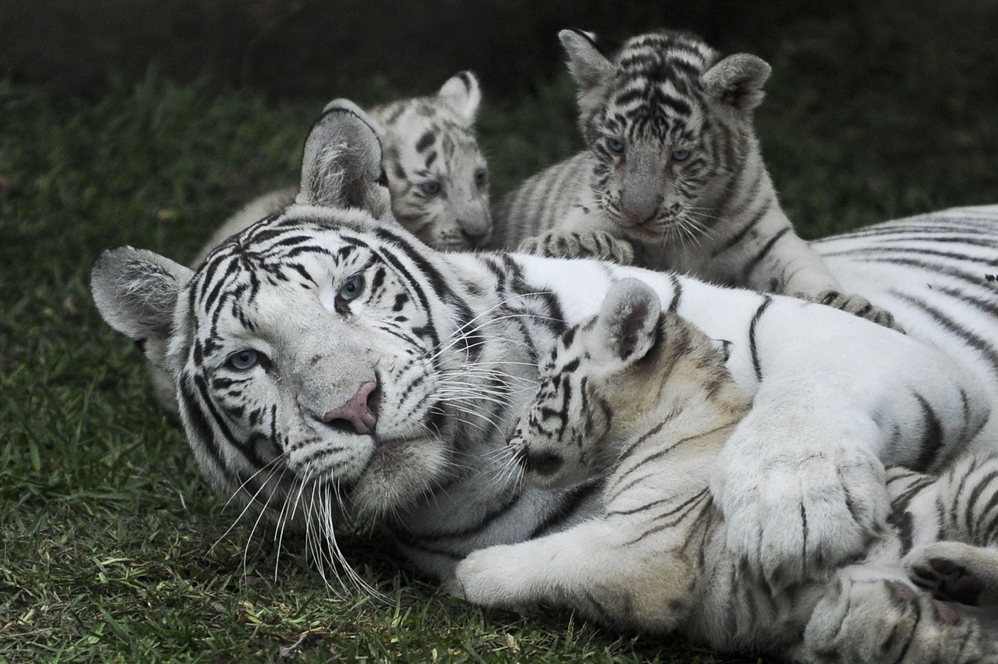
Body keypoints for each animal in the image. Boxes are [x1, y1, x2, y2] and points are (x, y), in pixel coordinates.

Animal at [89, 102, 998, 618]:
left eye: (347, 290)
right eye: (248, 361)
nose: (354, 406)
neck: (486, 444)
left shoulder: (854, 340)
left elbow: (798, 397)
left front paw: (794, 512)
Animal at [447, 276, 998, 662]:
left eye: (545, 379)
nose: (508, 433)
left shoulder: (646, 547)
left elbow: (549, 557)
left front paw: (469, 574)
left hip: (976, 483)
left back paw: (942, 565)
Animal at [491, 29, 899, 330]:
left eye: (680, 155)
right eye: (617, 145)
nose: (638, 214)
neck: (682, 241)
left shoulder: (773, 241)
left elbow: (809, 273)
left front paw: (852, 306)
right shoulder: (593, 206)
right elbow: (579, 230)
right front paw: (574, 243)